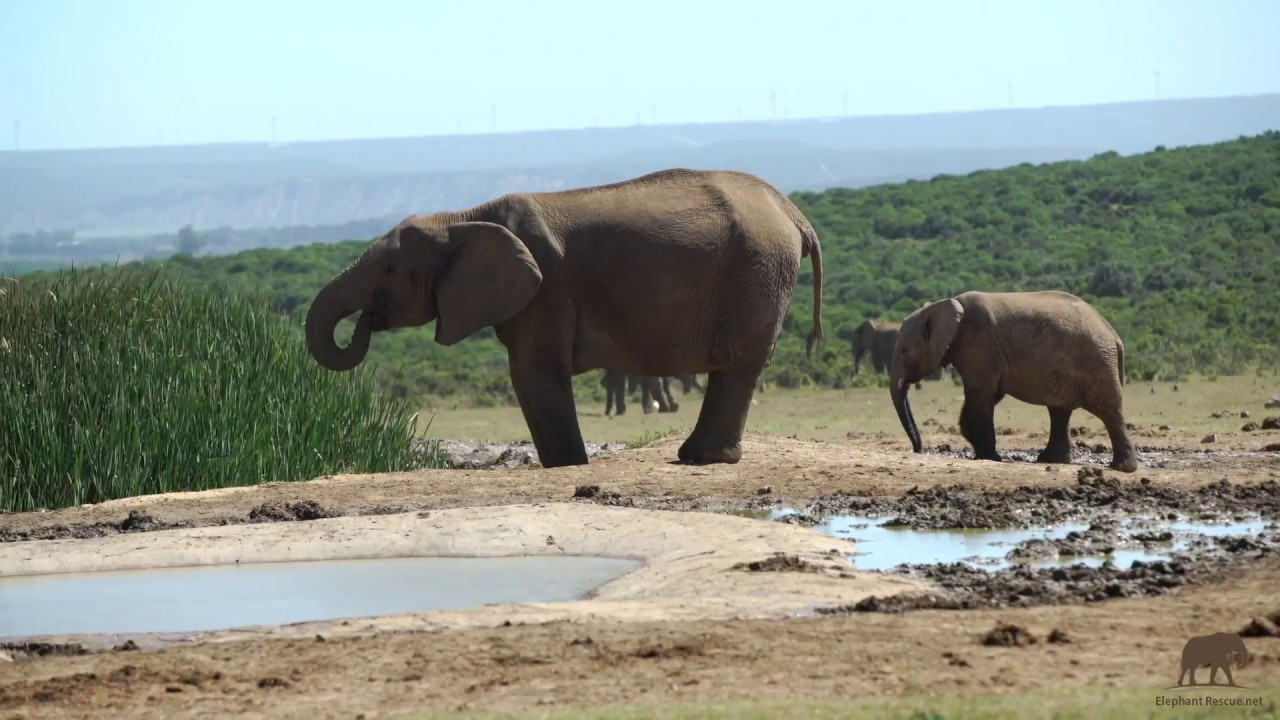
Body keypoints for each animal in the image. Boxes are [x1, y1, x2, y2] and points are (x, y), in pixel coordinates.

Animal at [304, 168, 824, 468]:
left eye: (390, 269)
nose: (366, 320)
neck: (461, 218)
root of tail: (793, 212)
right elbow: (526, 375)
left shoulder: (547, 290)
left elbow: (536, 372)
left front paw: (568, 467)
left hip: (757, 269)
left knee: (739, 363)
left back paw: (702, 459)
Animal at [889, 290, 1138, 473]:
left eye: (903, 350)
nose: (918, 450)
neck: (941, 305)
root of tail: (1115, 337)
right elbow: (988, 396)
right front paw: (982, 452)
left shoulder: (979, 345)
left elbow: (980, 395)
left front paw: (989, 457)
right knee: (1060, 411)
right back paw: (1049, 460)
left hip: (1097, 363)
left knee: (1108, 411)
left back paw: (1122, 468)